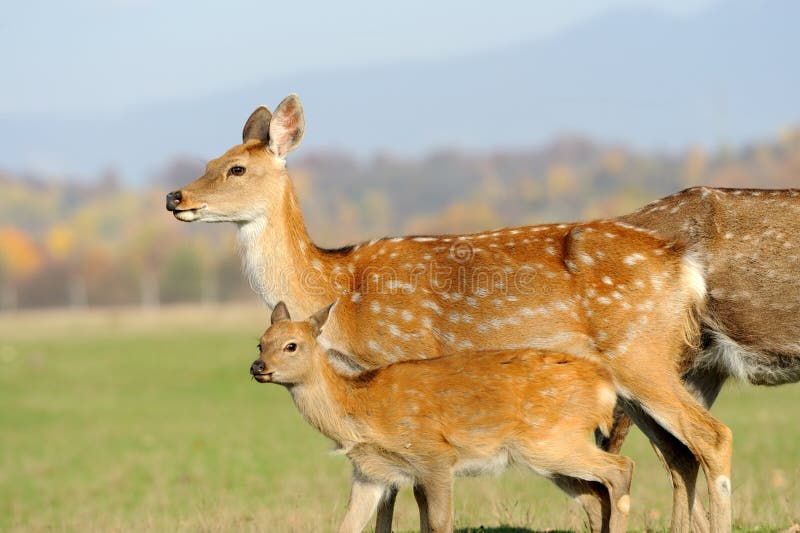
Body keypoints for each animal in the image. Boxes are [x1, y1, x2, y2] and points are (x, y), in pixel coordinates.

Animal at [250, 301, 635, 533]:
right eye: (260, 342)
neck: (360, 409)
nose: (257, 367)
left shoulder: (434, 455)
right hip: (549, 454)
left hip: (551, 441)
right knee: (596, 496)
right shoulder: (370, 472)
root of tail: (604, 385)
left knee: (621, 468)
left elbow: (439, 522)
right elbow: (348, 525)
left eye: (292, 345)